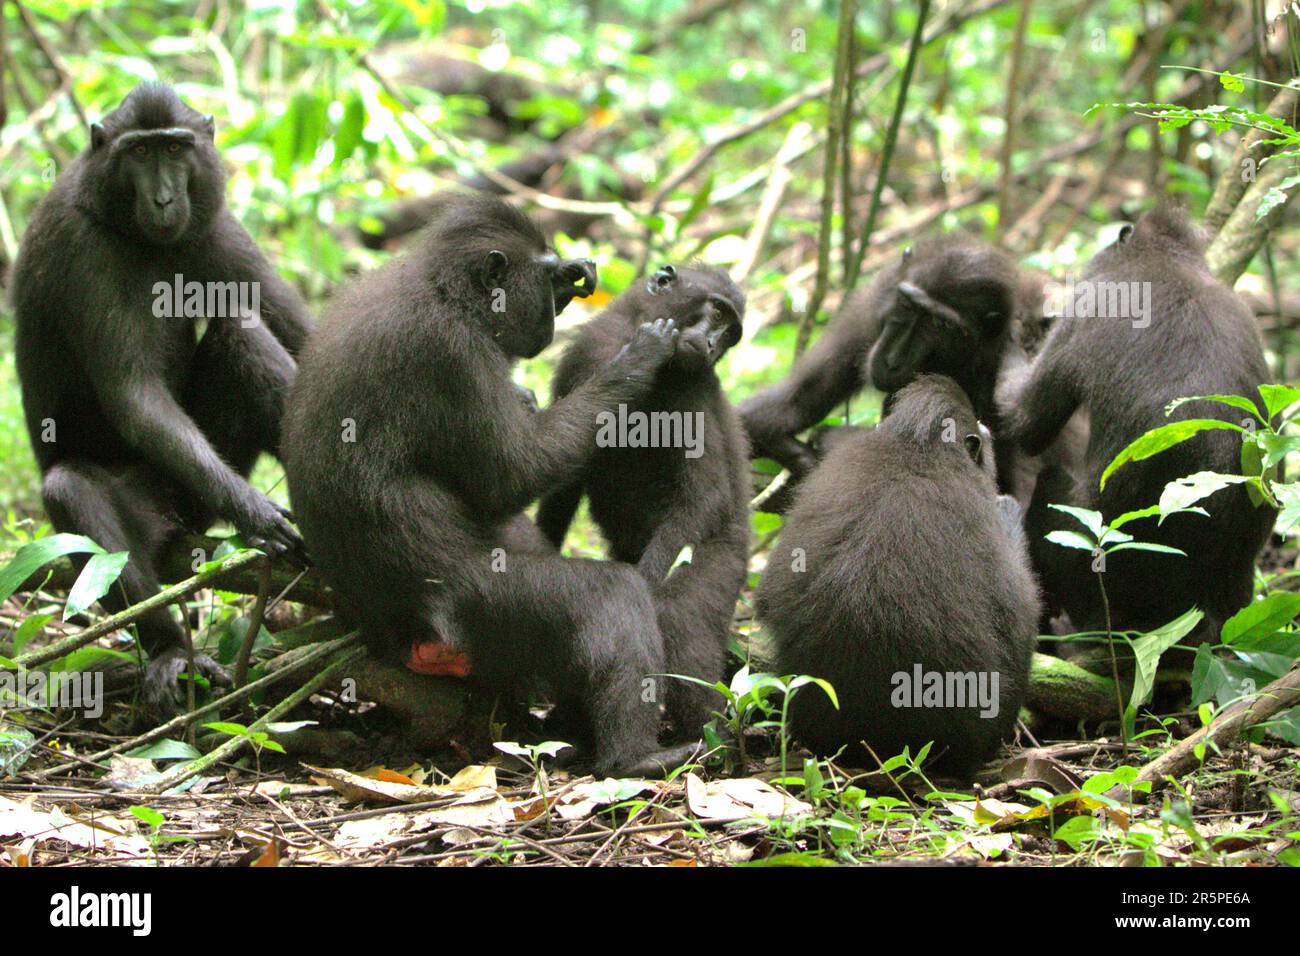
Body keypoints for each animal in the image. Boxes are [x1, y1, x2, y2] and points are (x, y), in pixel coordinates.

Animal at [10, 82, 313, 709]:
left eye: (175, 148)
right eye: (140, 152)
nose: (165, 199)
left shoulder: (219, 228)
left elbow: (306, 336)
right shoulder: (83, 249)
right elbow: (134, 395)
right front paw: (255, 510)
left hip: (194, 499)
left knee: (238, 330)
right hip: (154, 504)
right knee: (72, 490)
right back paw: (173, 651)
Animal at [281, 193, 701, 777]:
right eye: (548, 281)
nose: (561, 303)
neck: (446, 294)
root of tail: (399, 644)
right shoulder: (454, 355)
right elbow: (512, 477)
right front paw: (635, 360)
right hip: (484, 611)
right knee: (608, 596)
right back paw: (632, 759)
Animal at [536, 264, 751, 741]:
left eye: (732, 335)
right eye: (717, 312)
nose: (713, 343)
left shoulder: (693, 386)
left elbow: (704, 498)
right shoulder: (585, 355)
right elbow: (565, 477)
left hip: (723, 561)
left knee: (681, 613)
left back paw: (708, 742)